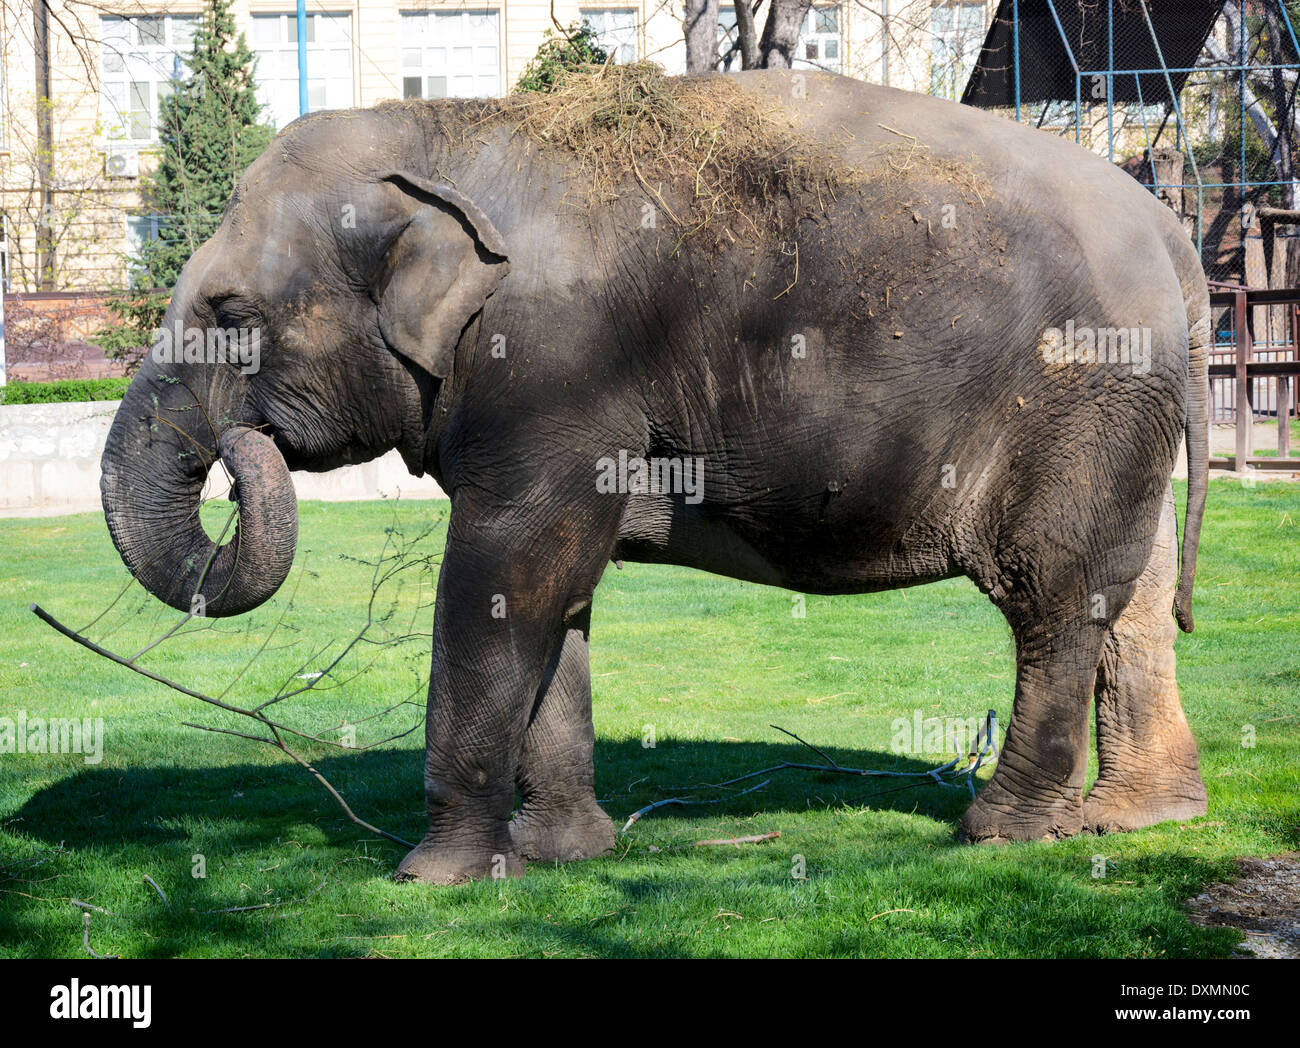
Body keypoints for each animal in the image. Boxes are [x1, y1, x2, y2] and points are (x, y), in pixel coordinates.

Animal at [99, 69, 1210, 884]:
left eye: (232, 314)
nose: (244, 449)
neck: (442, 136)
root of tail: (1172, 235)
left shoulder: (552, 368)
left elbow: (502, 578)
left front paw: (436, 878)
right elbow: (555, 594)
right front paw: (561, 856)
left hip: (1080, 402)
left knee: (1051, 593)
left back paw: (1000, 832)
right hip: (1130, 417)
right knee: (1135, 599)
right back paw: (1136, 820)